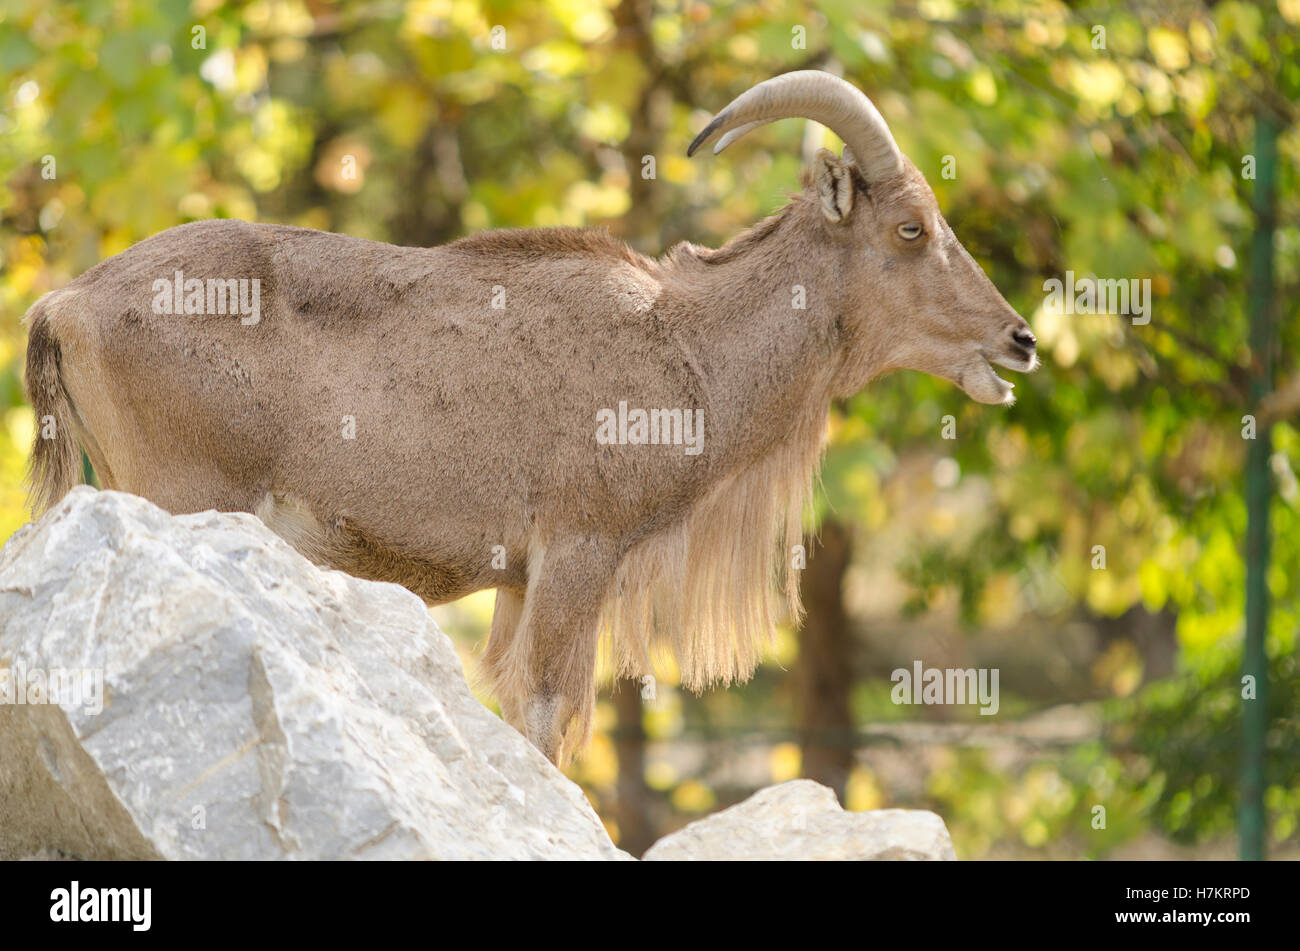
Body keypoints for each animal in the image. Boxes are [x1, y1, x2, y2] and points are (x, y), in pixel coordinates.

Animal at [24, 71, 1038, 764]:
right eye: (911, 228)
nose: (1020, 341)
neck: (687, 350)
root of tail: (66, 302)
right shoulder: (578, 550)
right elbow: (549, 714)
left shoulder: (516, 578)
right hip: (186, 500)